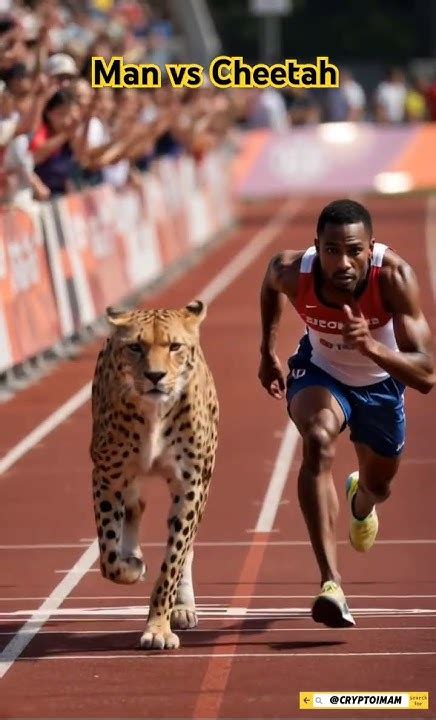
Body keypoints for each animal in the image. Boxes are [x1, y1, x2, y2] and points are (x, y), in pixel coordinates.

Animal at [90, 300, 219, 650]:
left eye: (174, 346)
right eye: (136, 347)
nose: (155, 376)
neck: (155, 413)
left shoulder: (191, 484)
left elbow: (173, 561)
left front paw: (159, 626)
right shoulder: (108, 476)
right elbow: (109, 555)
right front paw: (131, 565)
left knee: (187, 549)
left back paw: (183, 608)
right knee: (135, 508)